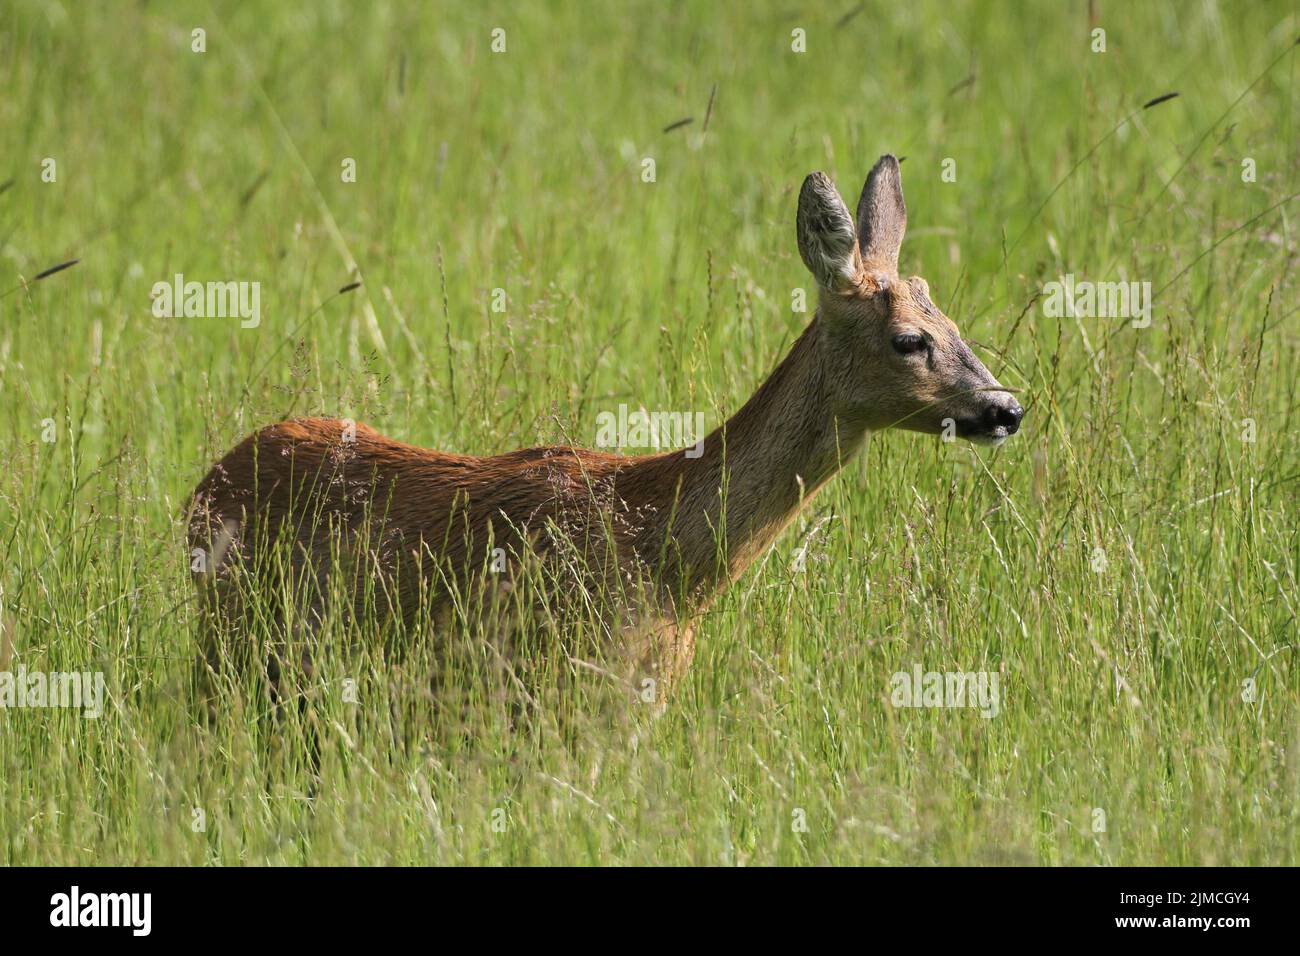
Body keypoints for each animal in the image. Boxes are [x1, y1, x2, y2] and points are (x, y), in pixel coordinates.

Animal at [187, 155, 1023, 715]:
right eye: (910, 340)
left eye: (955, 320)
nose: (1006, 407)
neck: (671, 561)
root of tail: (206, 482)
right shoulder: (557, 684)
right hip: (233, 641)